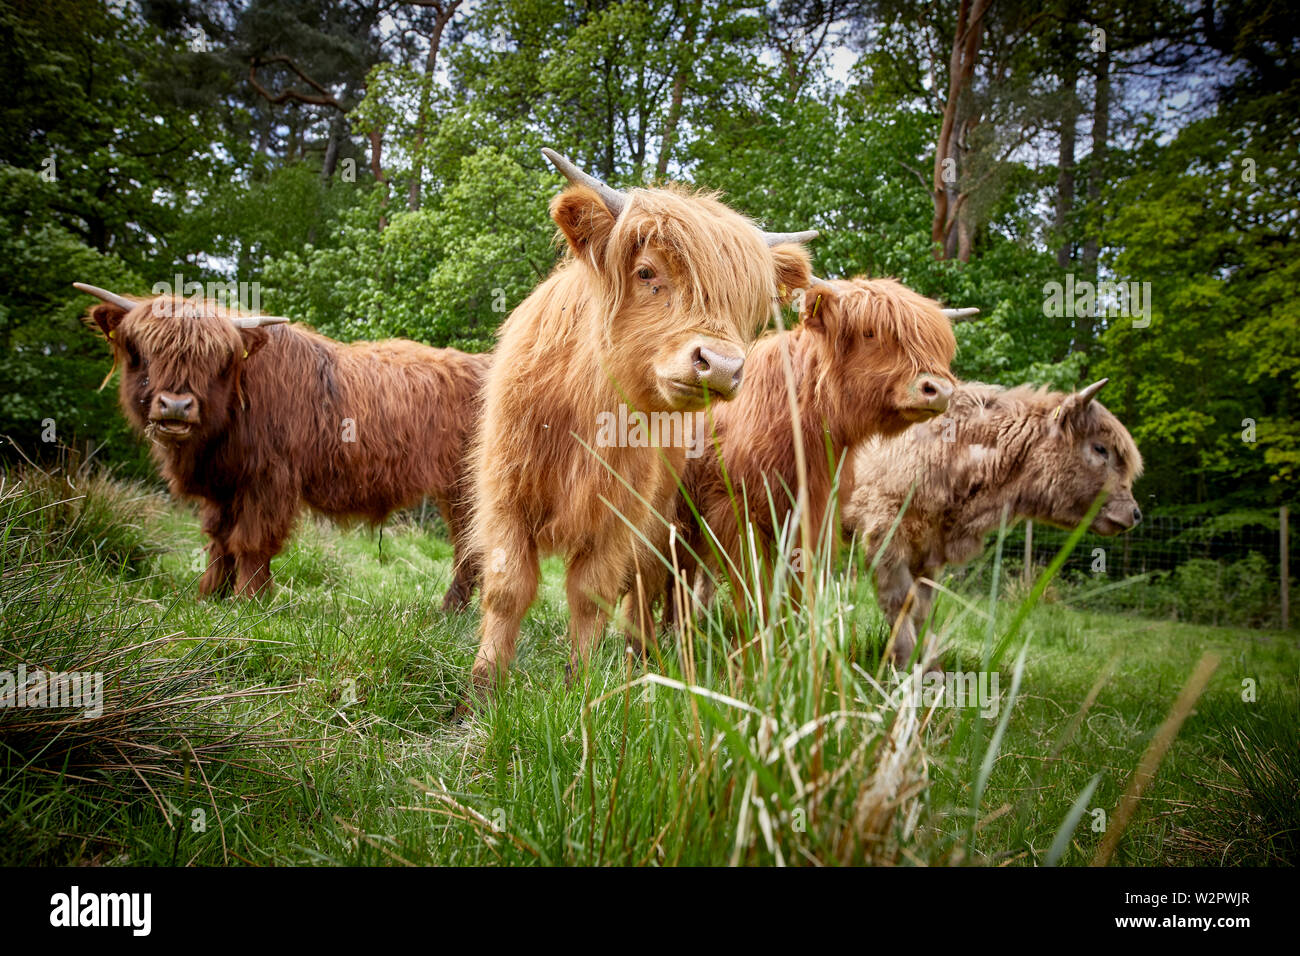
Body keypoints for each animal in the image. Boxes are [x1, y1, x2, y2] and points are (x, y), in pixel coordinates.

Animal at [74, 283, 487, 609]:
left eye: (218, 361)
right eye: (142, 352)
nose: (176, 406)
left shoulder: (268, 478)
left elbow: (251, 540)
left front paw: (249, 599)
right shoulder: (223, 484)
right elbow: (219, 540)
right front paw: (210, 595)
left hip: (465, 489)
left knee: (470, 548)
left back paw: (448, 612)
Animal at [467, 149, 815, 699]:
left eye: (747, 303)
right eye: (648, 272)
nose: (720, 366)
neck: (585, 412)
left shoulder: (620, 511)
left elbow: (592, 594)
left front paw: (581, 686)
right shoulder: (505, 495)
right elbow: (507, 589)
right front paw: (482, 688)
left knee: (648, 578)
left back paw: (641, 649)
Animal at [666, 276, 960, 625]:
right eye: (870, 332)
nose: (939, 391)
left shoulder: (814, 510)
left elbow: (797, 582)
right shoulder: (735, 507)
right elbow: (755, 581)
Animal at [842, 378, 1143, 668]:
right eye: (1100, 448)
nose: (1134, 513)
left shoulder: (927, 555)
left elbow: (924, 612)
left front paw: (933, 670)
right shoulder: (886, 539)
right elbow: (902, 603)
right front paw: (907, 669)